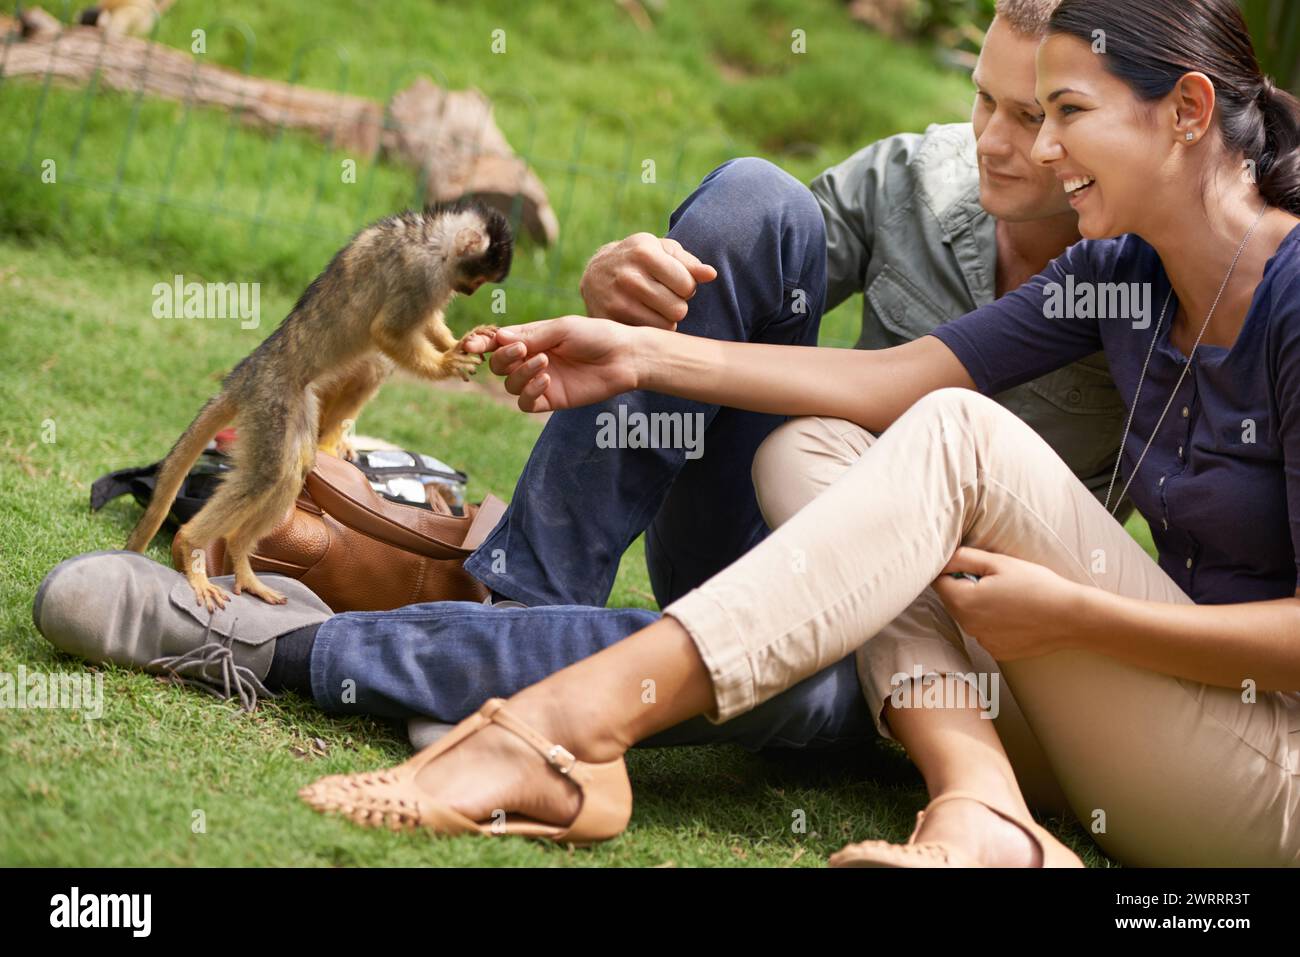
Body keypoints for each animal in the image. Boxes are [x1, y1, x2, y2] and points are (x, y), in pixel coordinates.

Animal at [125, 199, 513, 613]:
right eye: (478, 279)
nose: (469, 291)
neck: (434, 238)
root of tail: (247, 372)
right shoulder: (421, 274)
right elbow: (388, 332)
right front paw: (447, 362)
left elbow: (423, 323)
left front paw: (461, 340)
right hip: (272, 397)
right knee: (267, 474)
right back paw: (189, 546)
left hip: (295, 403)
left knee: (292, 469)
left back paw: (241, 559)